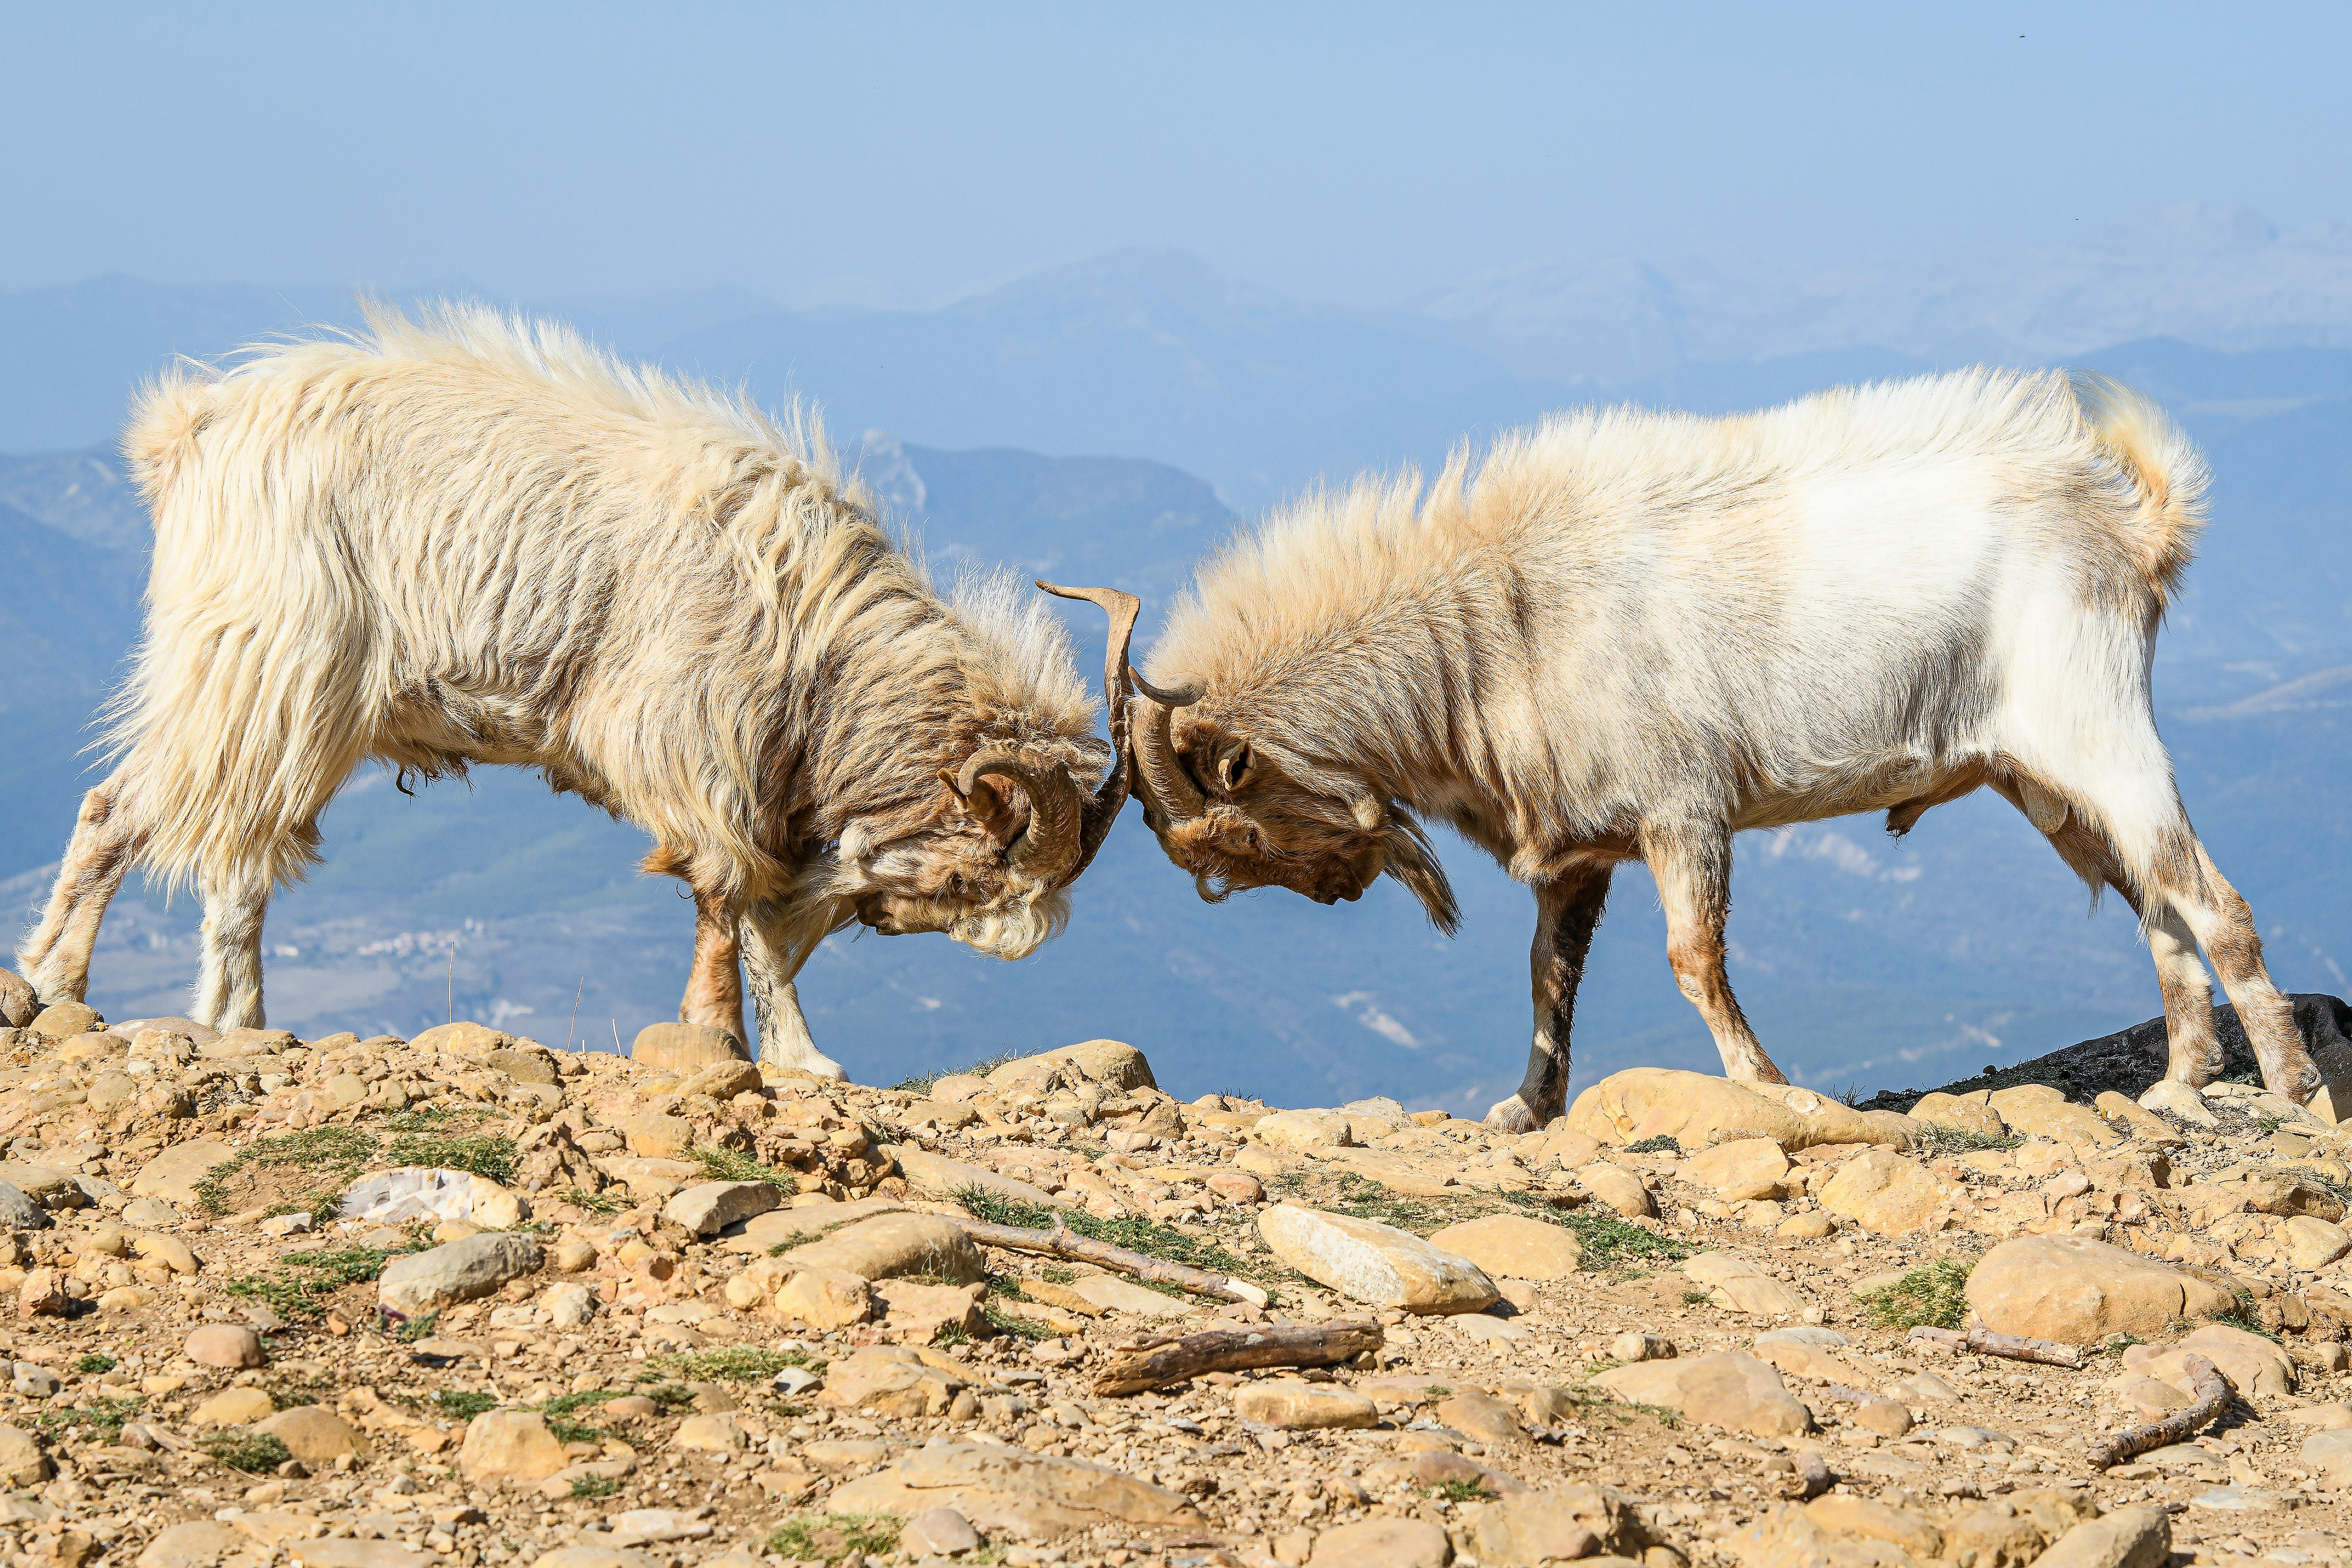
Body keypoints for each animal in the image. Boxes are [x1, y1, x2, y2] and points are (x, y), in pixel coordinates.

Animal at [16, 304, 1139, 1077]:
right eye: (973, 876)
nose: (902, 926)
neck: (815, 637)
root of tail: (190, 427)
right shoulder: (694, 746)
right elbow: (728, 900)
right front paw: (722, 1038)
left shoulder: (763, 790)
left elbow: (765, 920)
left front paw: (799, 1056)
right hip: (269, 662)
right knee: (161, 821)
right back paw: (101, 991)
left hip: (279, 695)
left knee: (214, 842)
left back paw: (187, 1009)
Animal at [1124, 369, 2320, 1128]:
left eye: (1233, 834)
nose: (1336, 895)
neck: (1499, 620)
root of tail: (2132, 529)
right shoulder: (1583, 848)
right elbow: (1547, 973)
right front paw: (1525, 1107)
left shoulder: (1682, 811)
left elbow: (1694, 958)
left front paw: (1767, 1080)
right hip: (2039, 778)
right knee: (2153, 899)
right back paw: (2180, 1083)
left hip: (2098, 723)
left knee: (2210, 897)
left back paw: (2293, 1084)